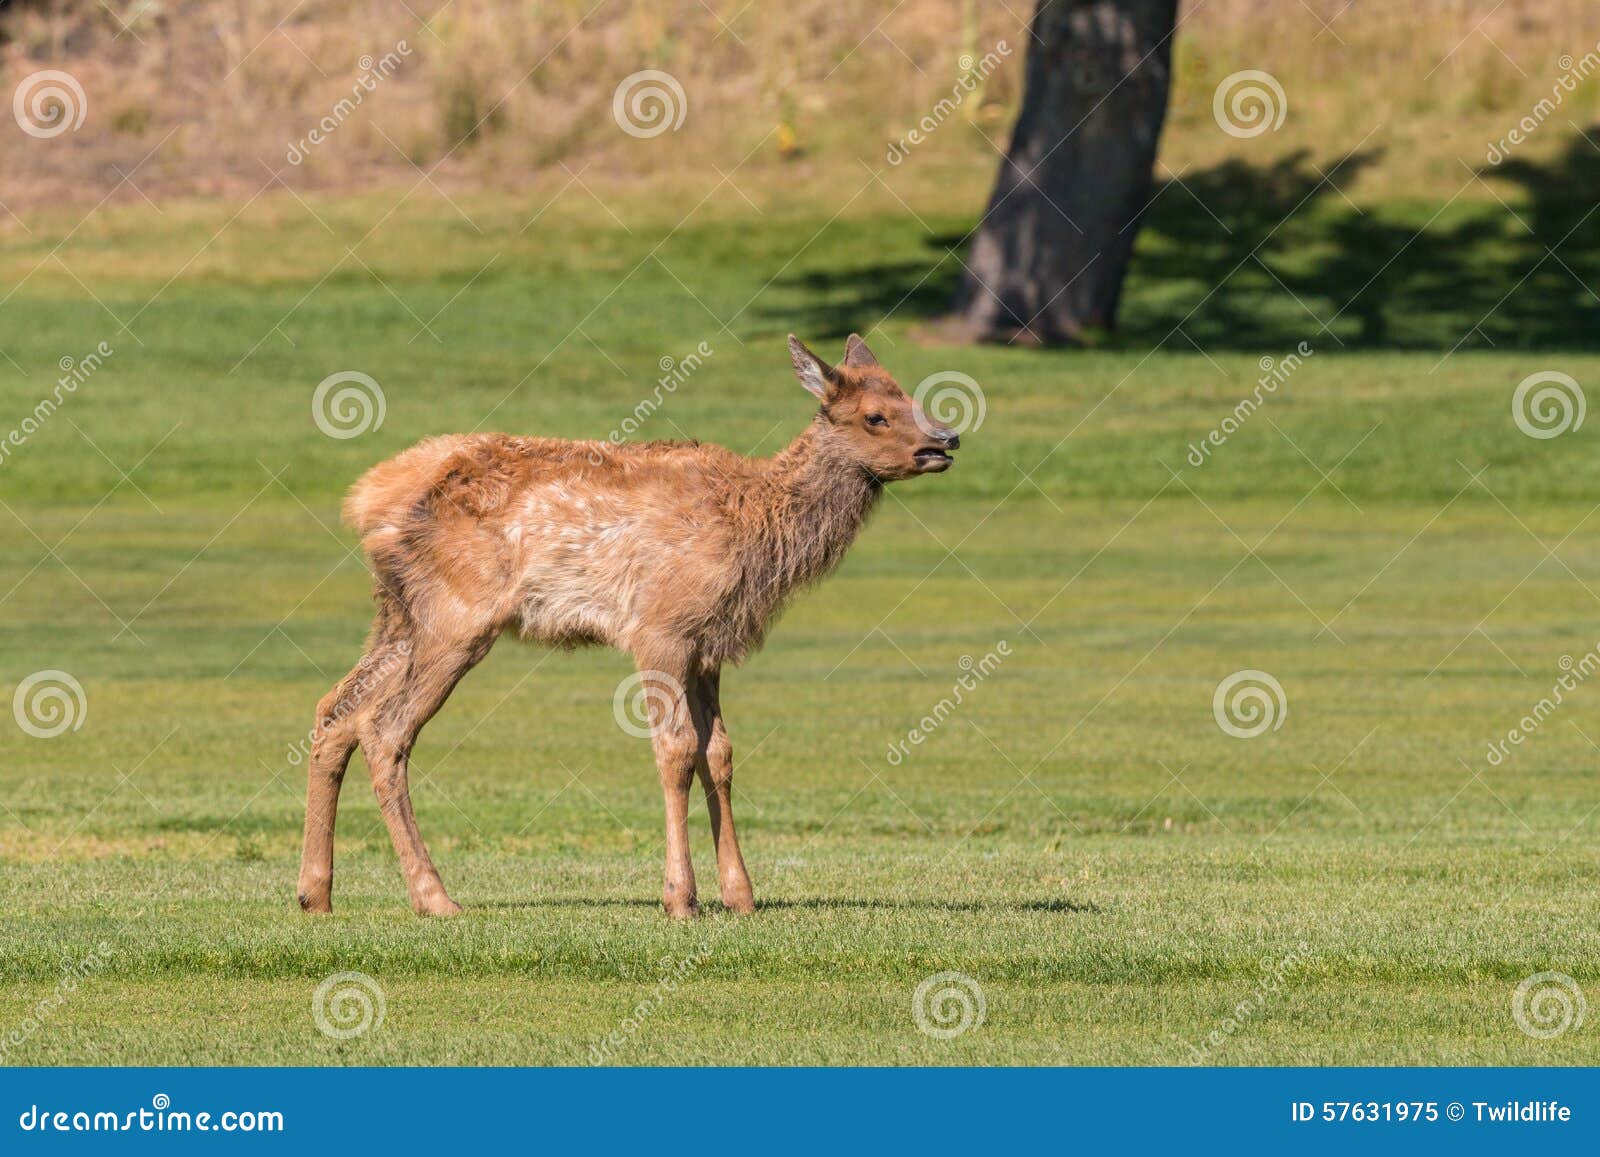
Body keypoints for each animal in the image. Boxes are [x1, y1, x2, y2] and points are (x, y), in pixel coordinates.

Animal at [295, 334, 961, 919]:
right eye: (876, 415)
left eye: (909, 394)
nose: (947, 438)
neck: (756, 531)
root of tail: (366, 501)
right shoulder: (659, 626)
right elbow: (676, 751)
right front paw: (680, 899)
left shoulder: (708, 644)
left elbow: (719, 753)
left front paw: (741, 897)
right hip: (456, 616)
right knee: (385, 728)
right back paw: (434, 898)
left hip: (400, 614)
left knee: (337, 710)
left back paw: (315, 894)